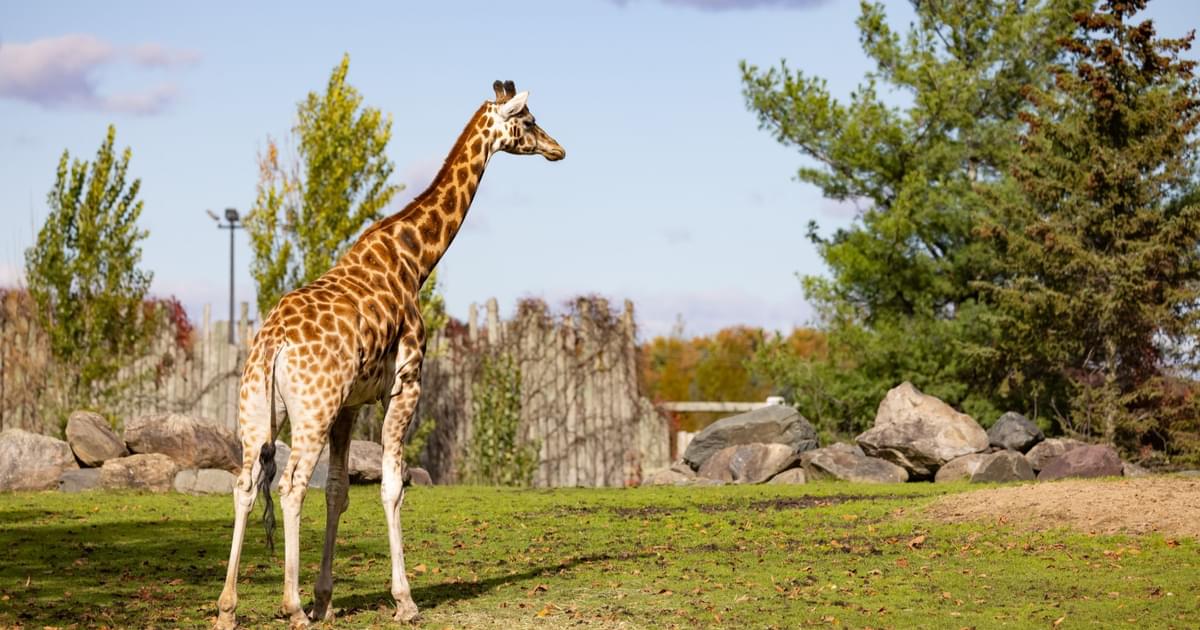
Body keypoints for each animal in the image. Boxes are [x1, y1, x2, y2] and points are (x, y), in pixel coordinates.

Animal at [215, 80, 565, 629]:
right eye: (528, 121)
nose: (557, 148)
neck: (416, 260)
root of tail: (274, 344)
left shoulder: (350, 403)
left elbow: (339, 490)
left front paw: (326, 599)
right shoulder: (405, 384)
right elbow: (392, 485)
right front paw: (404, 600)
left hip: (257, 408)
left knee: (246, 483)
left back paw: (228, 608)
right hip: (310, 410)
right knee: (291, 486)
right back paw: (291, 608)